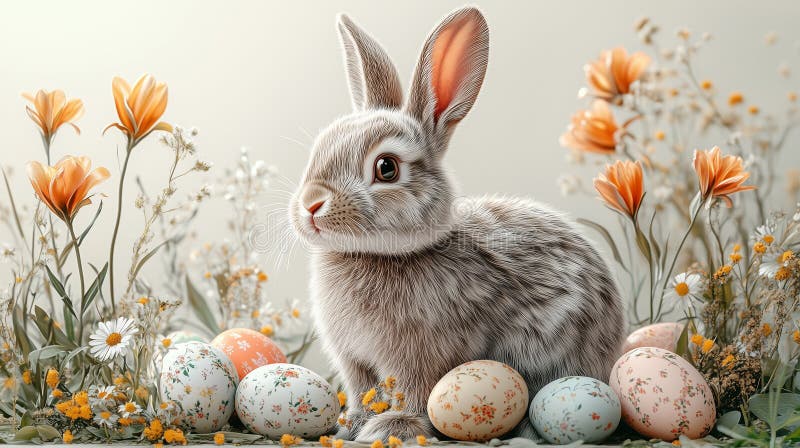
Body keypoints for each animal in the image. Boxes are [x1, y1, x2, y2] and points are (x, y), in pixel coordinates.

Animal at [287, 6, 625, 442]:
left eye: (386, 168)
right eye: (320, 147)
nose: (311, 205)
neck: (381, 254)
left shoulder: (425, 353)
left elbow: (418, 392)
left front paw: (392, 427)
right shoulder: (353, 359)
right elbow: (362, 389)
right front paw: (352, 425)